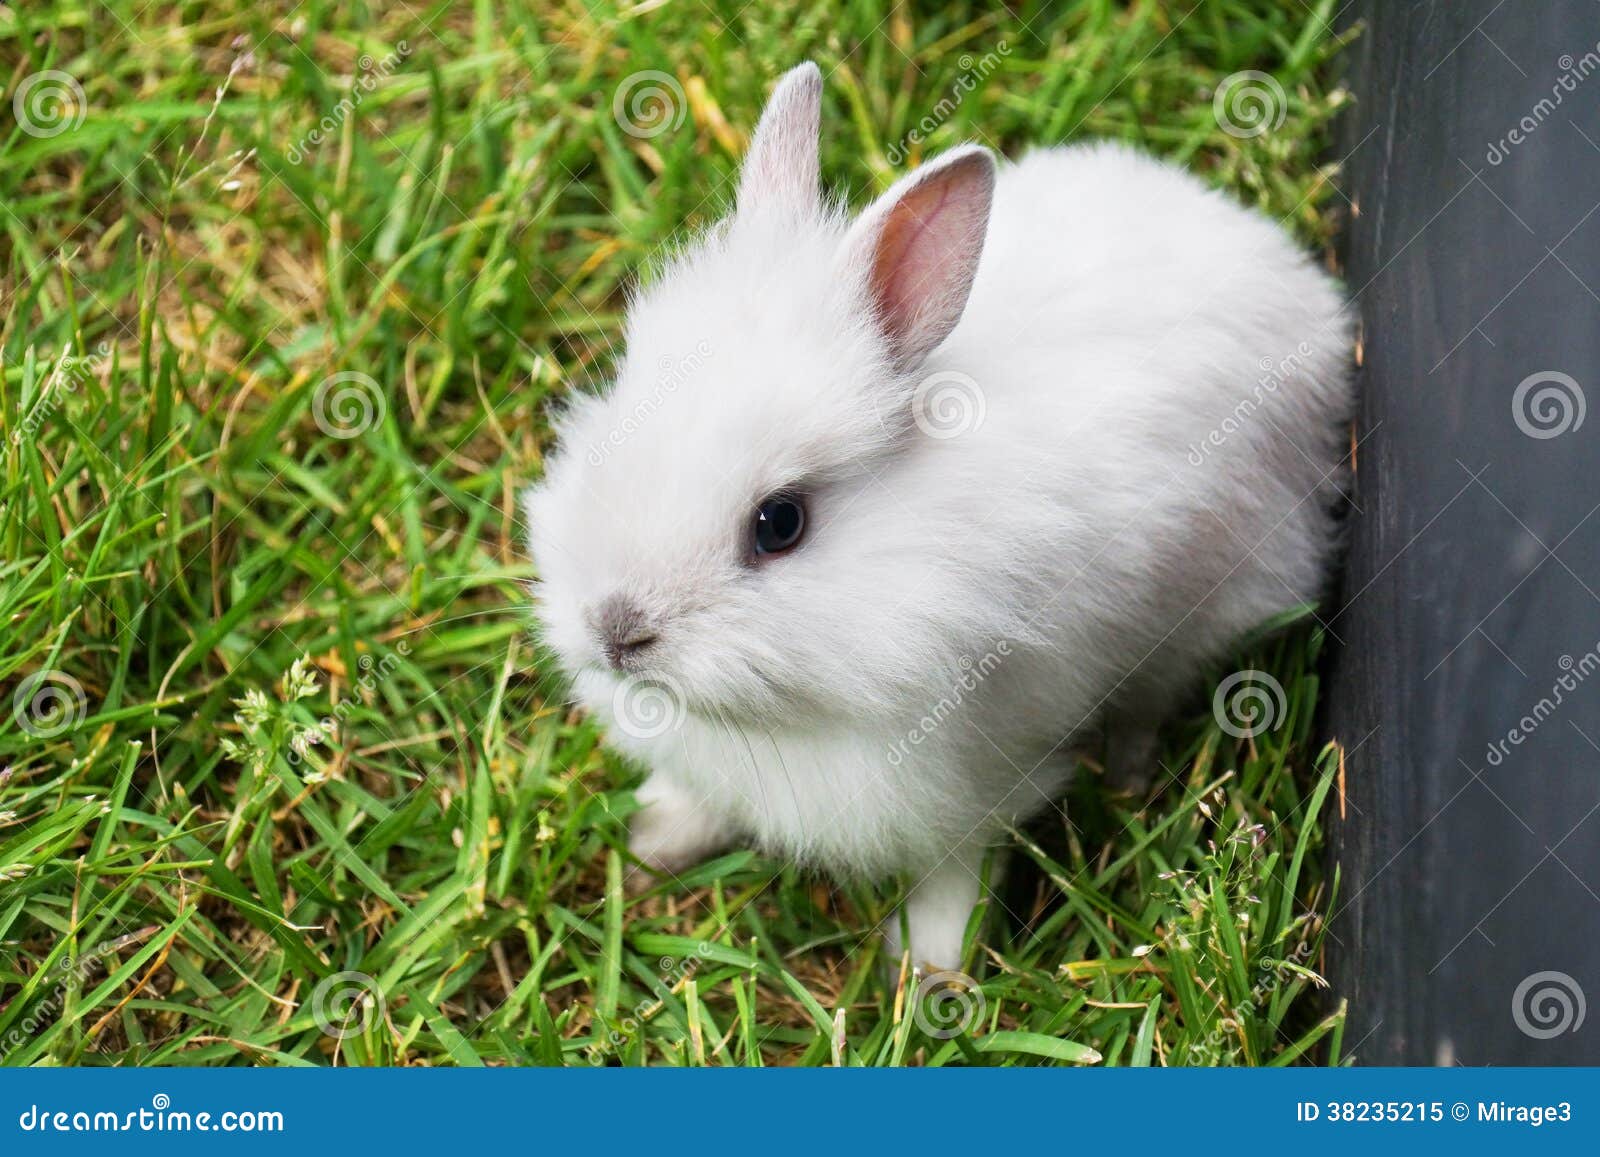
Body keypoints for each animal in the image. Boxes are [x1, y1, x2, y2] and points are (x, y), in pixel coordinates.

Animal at [523, 62, 1352, 971]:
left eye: (780, 523)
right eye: (620, 413)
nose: (615, 630)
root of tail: (1309, 300)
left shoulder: (975, 781)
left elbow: (957, 875)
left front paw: (930, 972)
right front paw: (650, 845)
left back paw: (1129, 773)